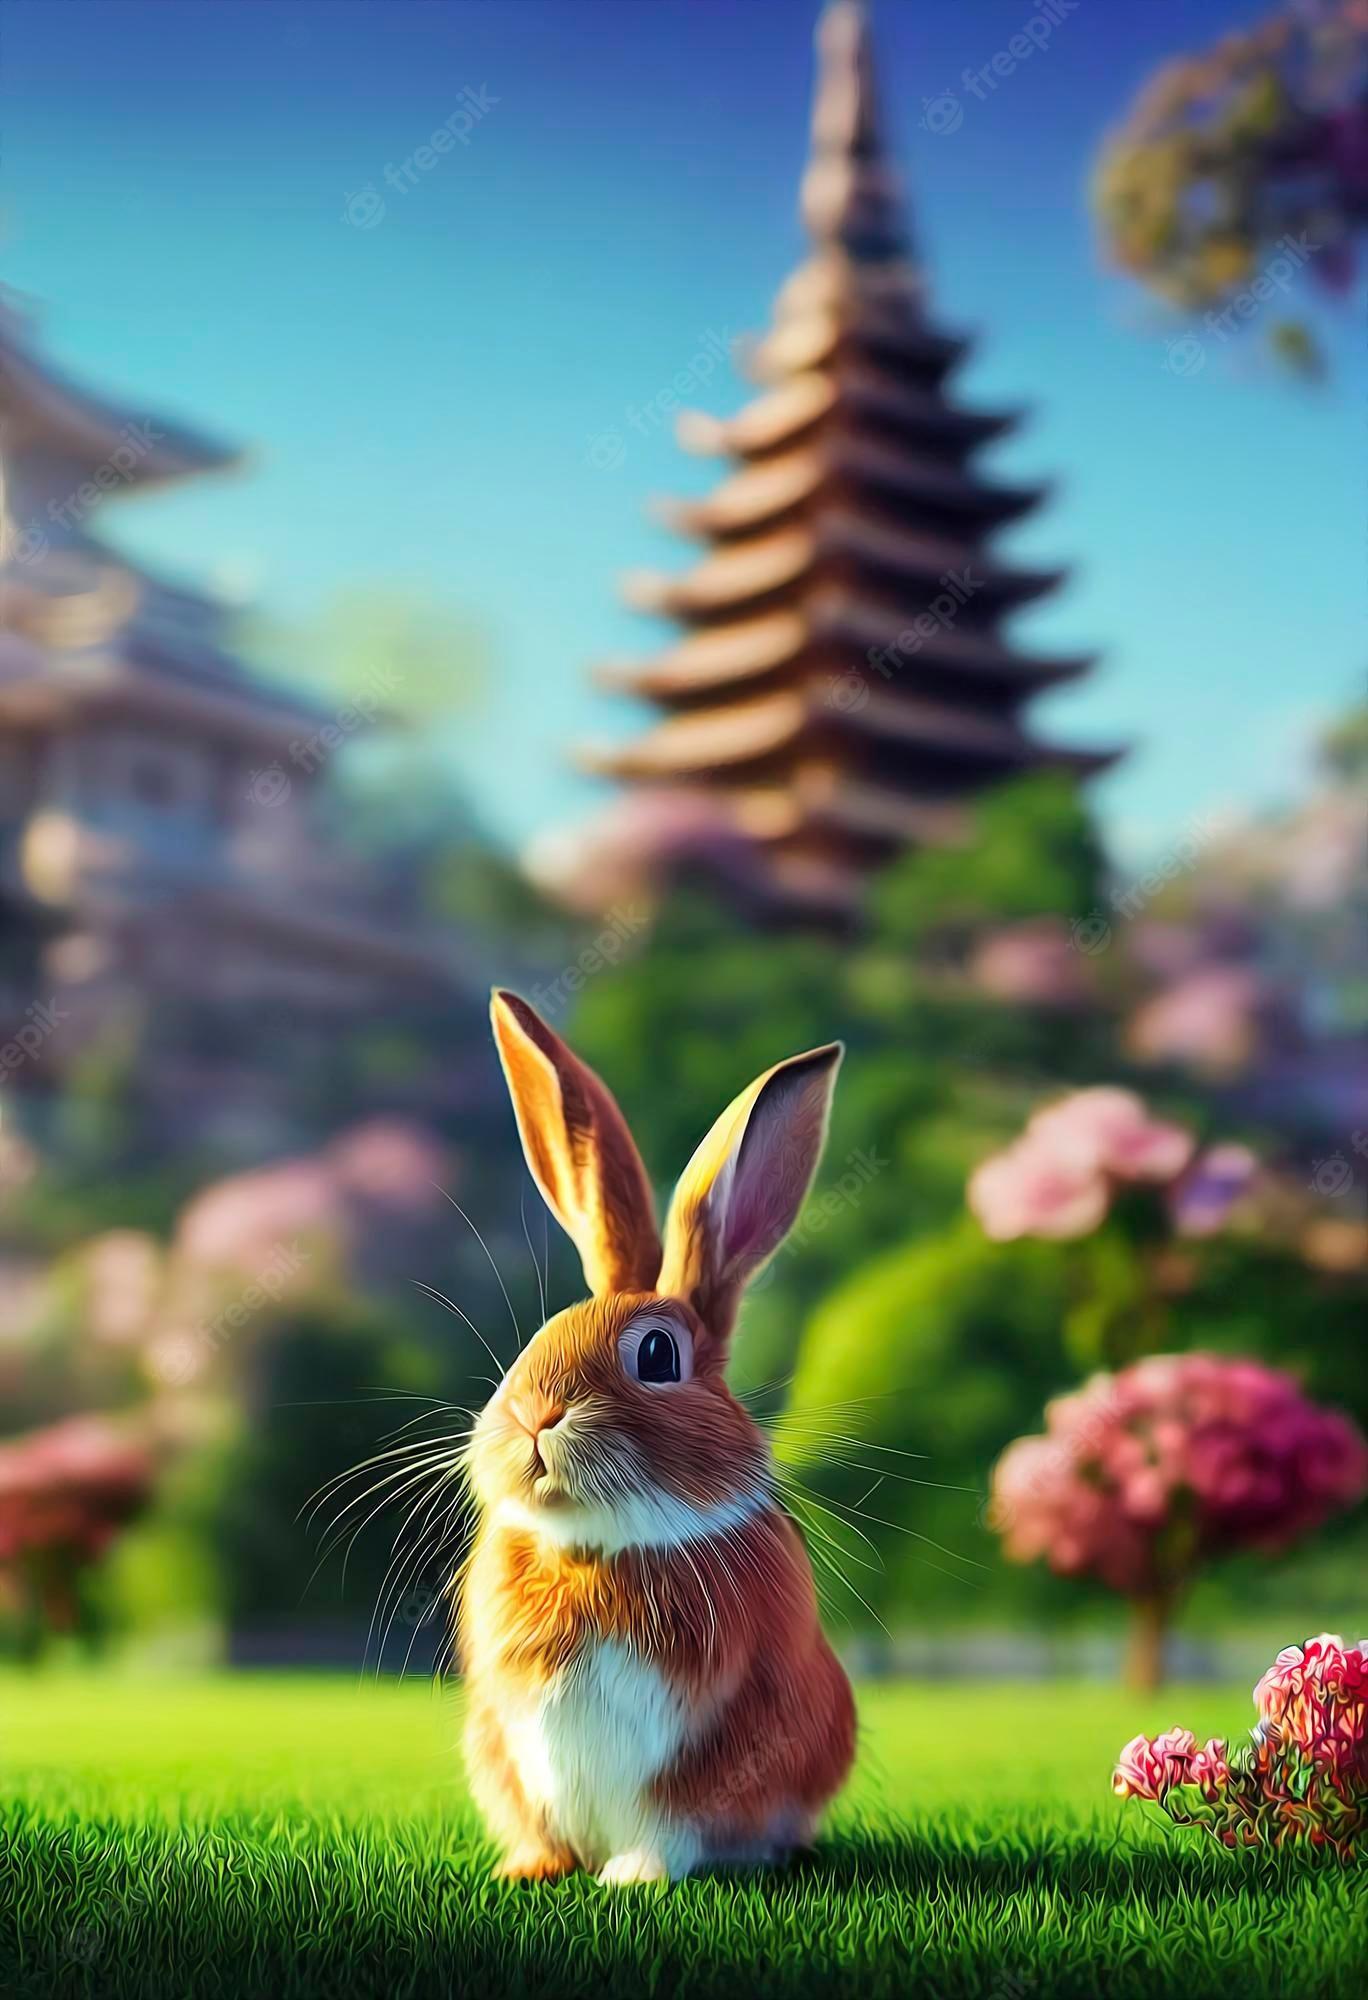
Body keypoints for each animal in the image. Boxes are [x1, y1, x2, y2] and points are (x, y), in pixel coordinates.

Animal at [457, 988, 856, 1887]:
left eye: (656, 1355)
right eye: (540, 1334)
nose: (534, 1416)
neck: (597, 1550)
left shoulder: (716, 1755)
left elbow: (672, 1829)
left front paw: (632, 1879)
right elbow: (543, 1828)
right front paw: (527, 1871)